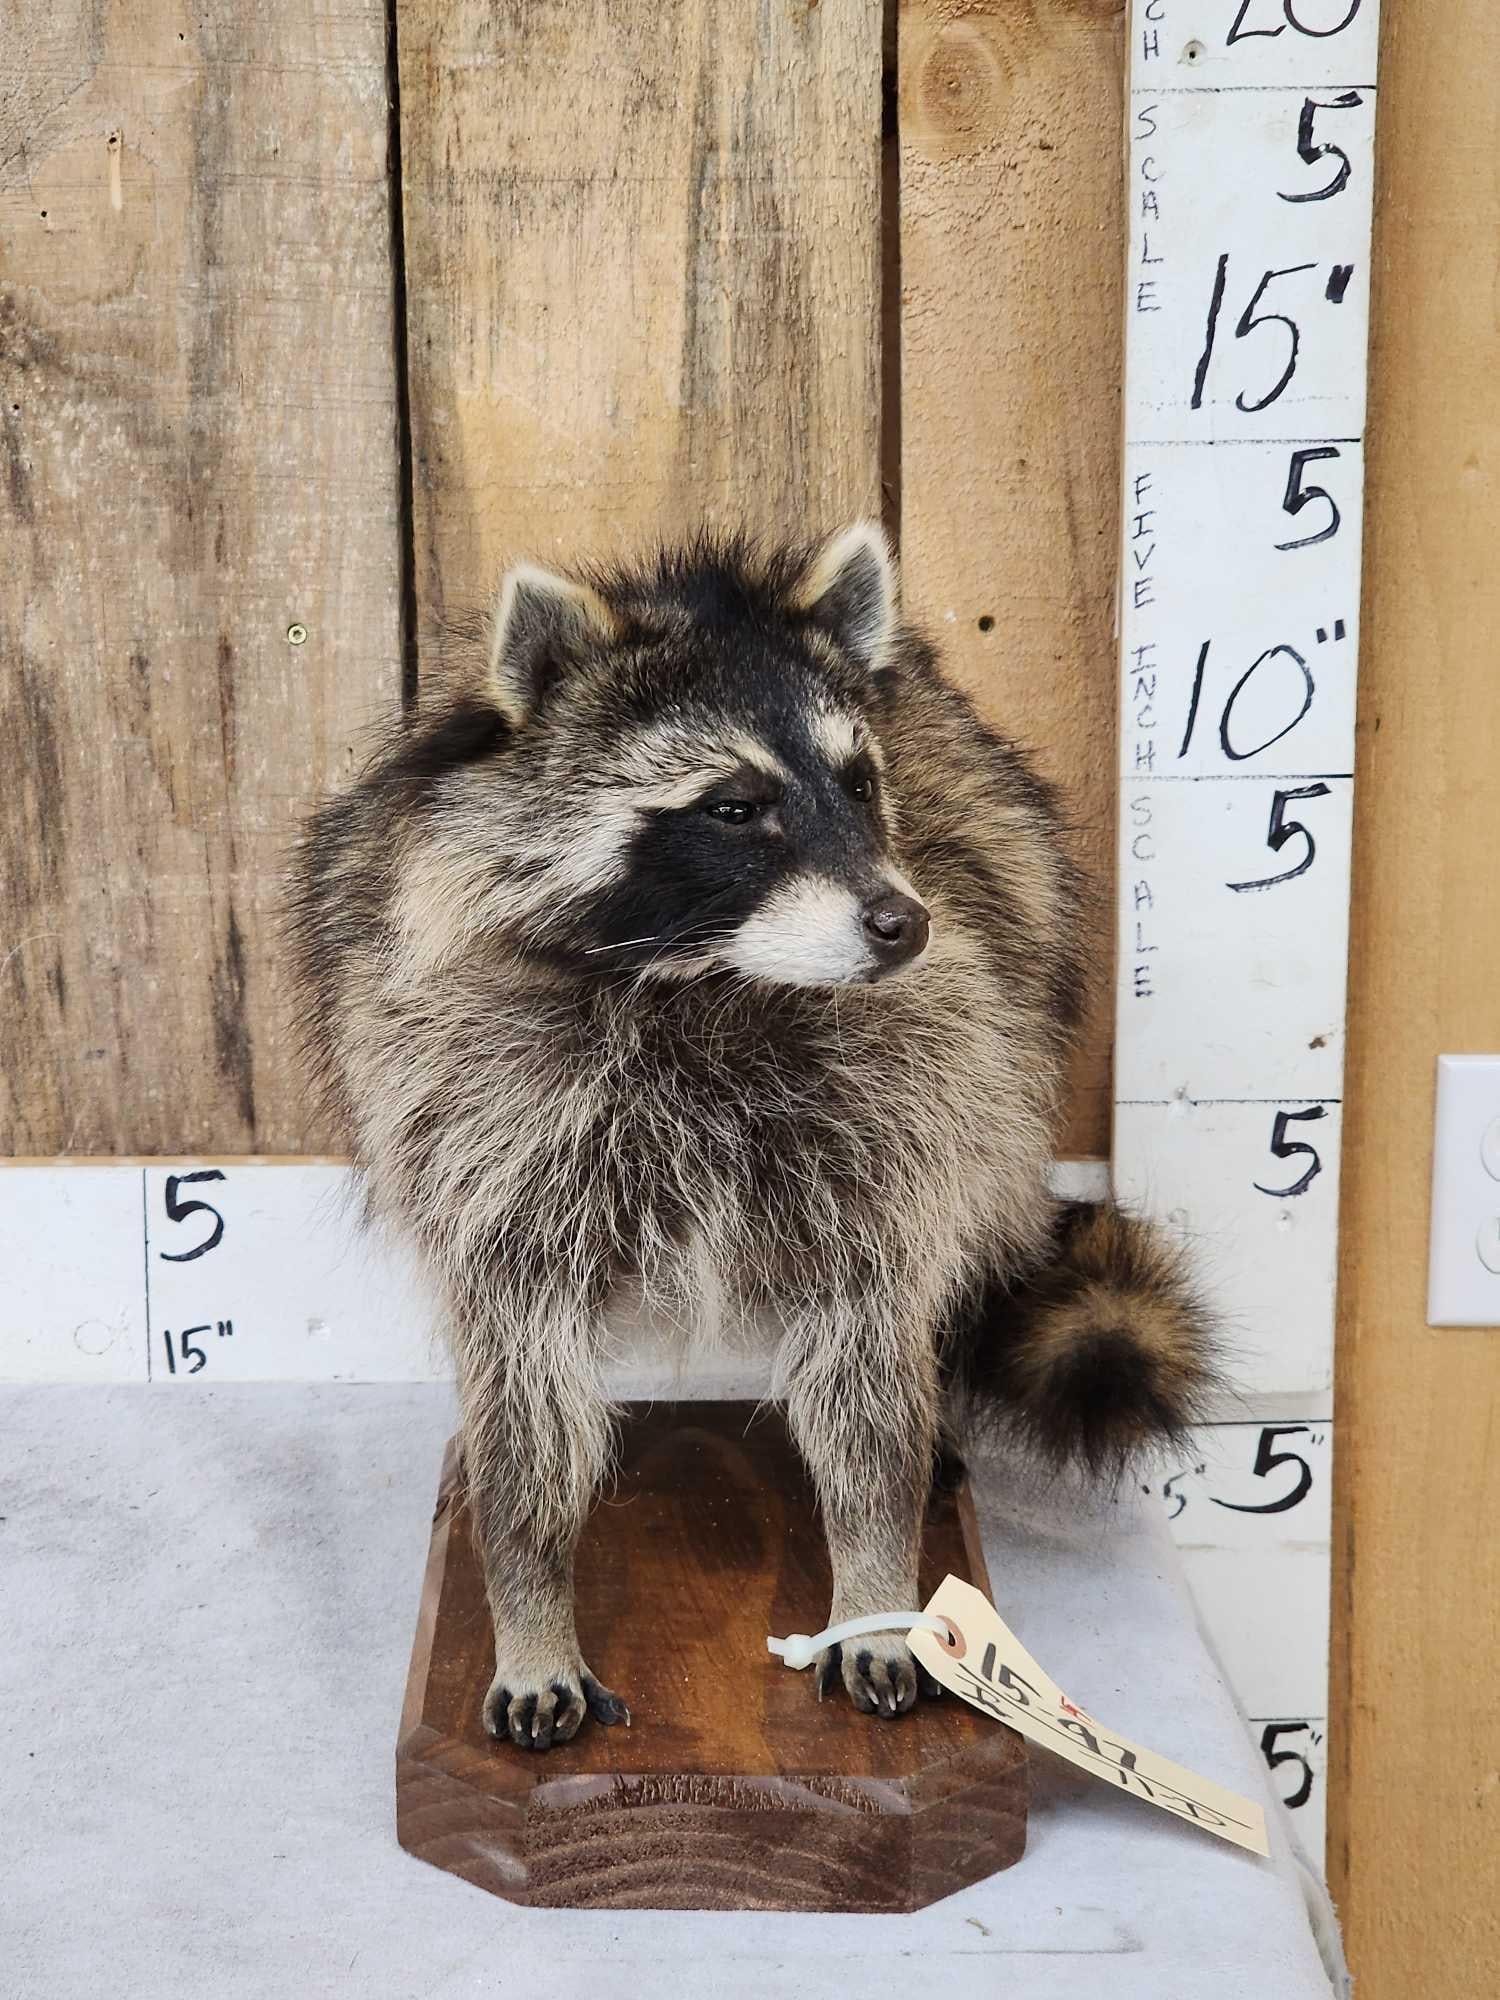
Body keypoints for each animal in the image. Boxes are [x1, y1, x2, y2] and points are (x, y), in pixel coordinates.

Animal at [289, 524, 1218, 1749]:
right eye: (734, 806)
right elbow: (521, 1380)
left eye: (863, 782)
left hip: (1000, 1053)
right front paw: (525, 1593)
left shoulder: (901, 1098)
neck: (710, 980)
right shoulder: (481, 1107)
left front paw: (874, 1584)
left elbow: (868, 1368)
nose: (905, 923)